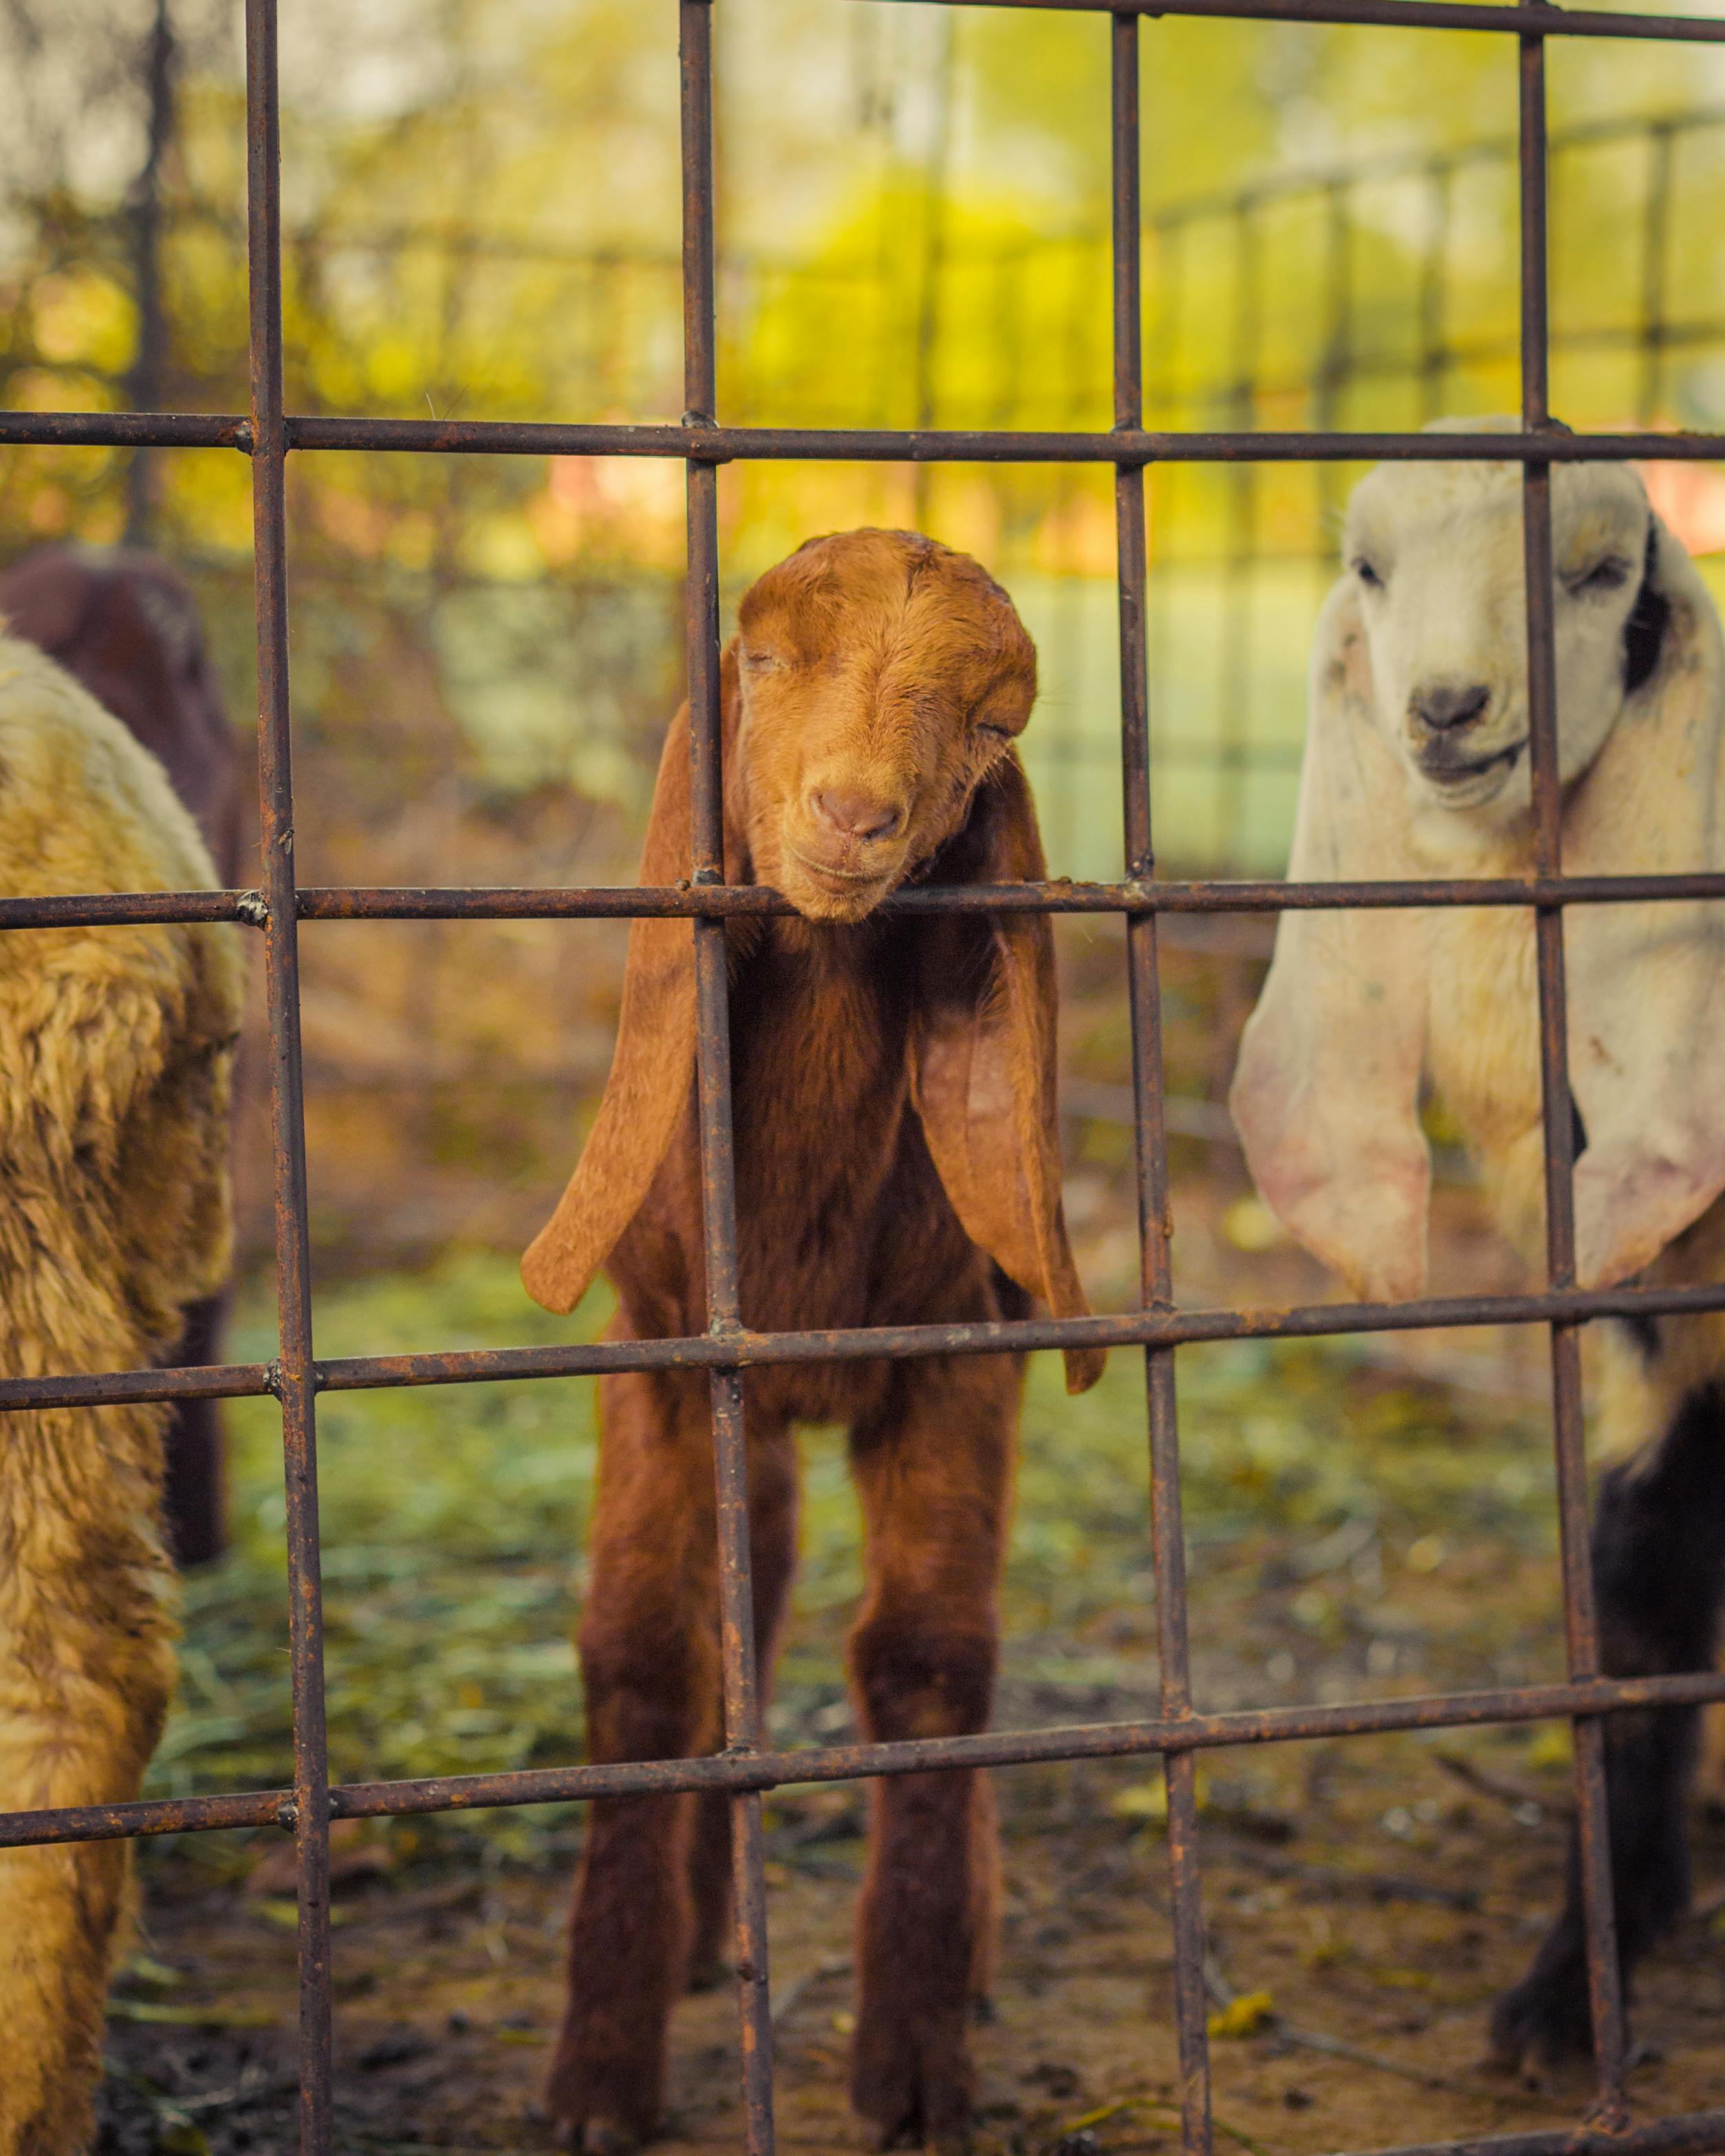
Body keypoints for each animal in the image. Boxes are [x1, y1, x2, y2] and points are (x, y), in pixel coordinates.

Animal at [521, 528, 1103, 2154]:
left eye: (993, 727)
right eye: (766, 662)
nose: (855, 816)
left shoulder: (956, 1363)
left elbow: (930, 1660)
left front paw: (913, 2061)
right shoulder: (658, 1358)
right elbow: (644, 1660)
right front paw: (599, 2074)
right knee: (757, 1585)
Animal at [1229, 421, 1725, 2072]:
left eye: (1599, 568)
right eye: (1368, 570)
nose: (1446, 709)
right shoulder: (1656, 1347)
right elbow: (1636, 1608)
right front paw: (1578, 1983)